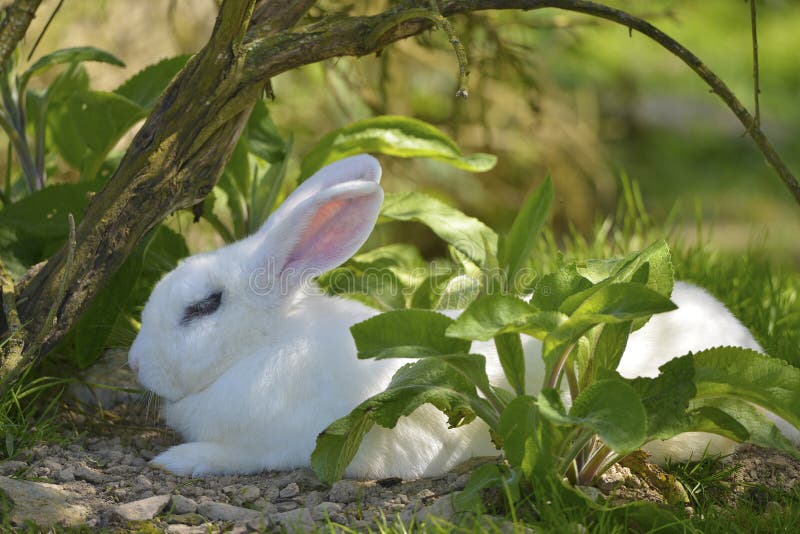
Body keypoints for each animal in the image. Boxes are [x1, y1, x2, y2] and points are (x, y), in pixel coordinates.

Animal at [128, 154, 797, 479]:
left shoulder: (291, 443)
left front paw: (178, 461)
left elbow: (238, 457)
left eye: (203, 307)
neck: (265, 347)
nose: (135, 364)